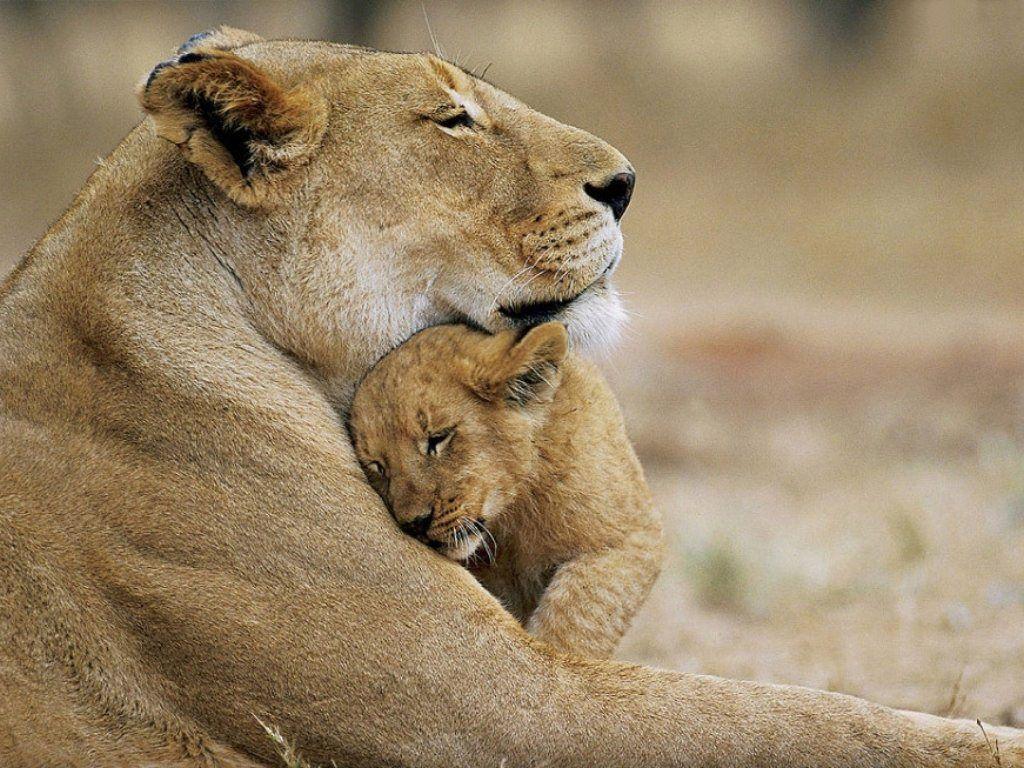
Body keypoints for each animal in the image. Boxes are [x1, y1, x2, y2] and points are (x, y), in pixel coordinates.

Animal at [348, 321, 663, 658]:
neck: (513, 513)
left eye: (438, 438)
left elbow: (578, 615)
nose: (415, 524)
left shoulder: (633, 536)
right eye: (378, 466)